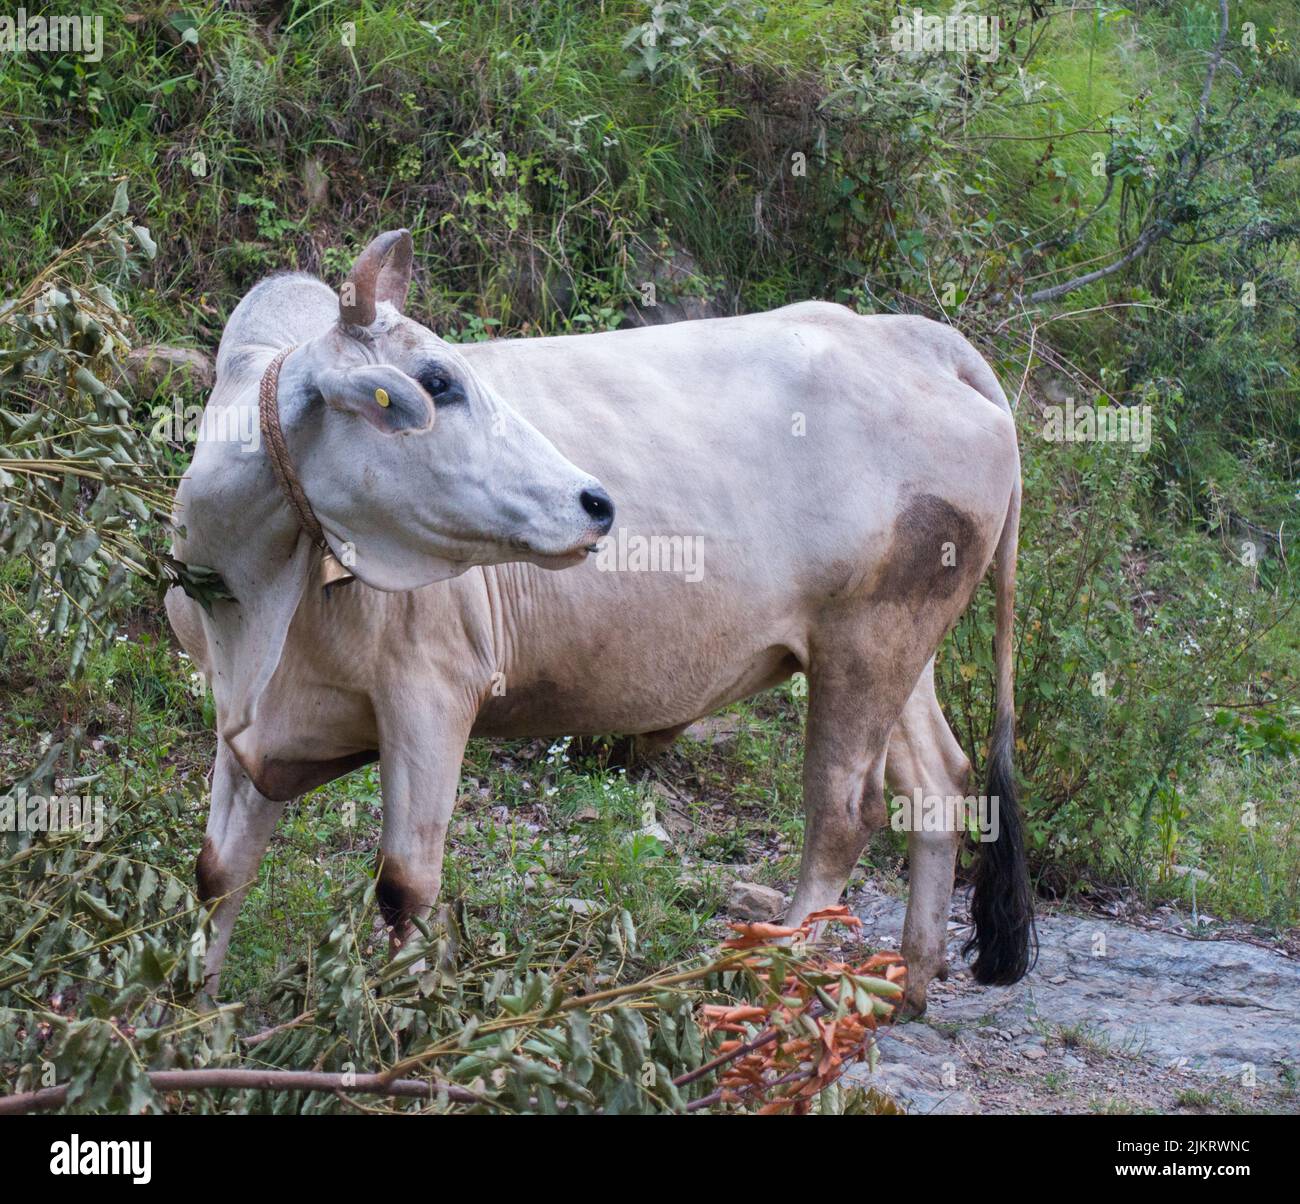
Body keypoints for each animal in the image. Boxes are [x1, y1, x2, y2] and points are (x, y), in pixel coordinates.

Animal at [167, 229, 1035, 1016]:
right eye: (438, 381)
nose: (597, 502)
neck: (263, 602)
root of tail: (911, 336)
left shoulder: (431, 694)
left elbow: (405, 887)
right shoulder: (243, 719)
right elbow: (218, 872)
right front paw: (193, 1014)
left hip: (867, 645)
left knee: (843, 817)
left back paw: (776, 984)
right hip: (895, 649)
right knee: (938, 784)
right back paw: (910, 988)